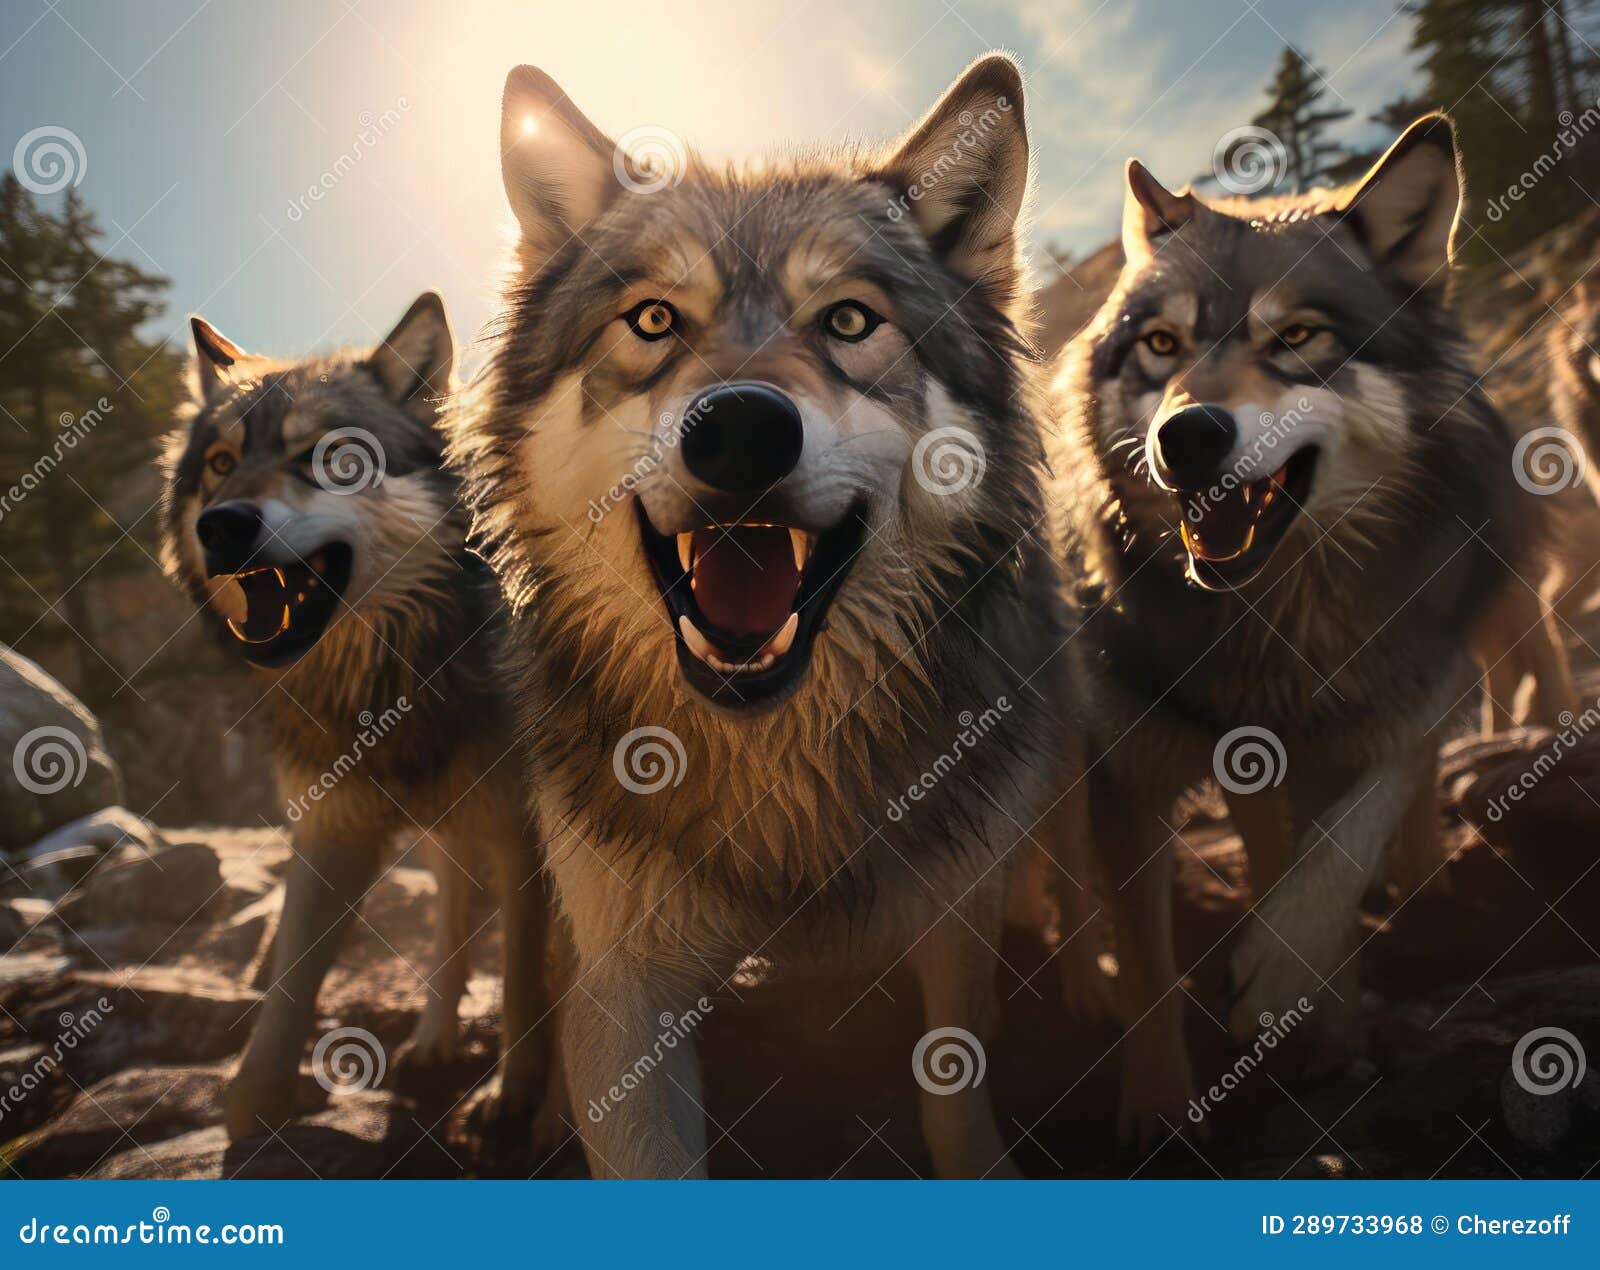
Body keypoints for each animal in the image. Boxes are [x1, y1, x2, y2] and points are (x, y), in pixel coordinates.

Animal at [160, 294, 556, 1143]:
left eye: (331, 457)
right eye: (220, 464)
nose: (222, 525)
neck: (399, 671)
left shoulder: (527, 834)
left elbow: (524, 979)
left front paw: (515, 1095)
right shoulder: (332, 825)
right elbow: (289, 982)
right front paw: (250, 1113)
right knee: (448, 919)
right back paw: (433, 1039)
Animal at [445, 54, 1077, 1178]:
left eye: (849, 322)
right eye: (654, 321)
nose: (738, 428)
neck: (768, 763)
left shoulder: (955, 915)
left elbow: (956, 1091)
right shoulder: (627, 980)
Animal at [1048, 115, 1562, 1149]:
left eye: (1295, 337)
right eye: (1161, 344)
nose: (1186, 438)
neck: (1275, 618)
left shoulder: (1402, 690)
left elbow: (1352, 832)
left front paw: (1304, 993)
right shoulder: (1134, 765)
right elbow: (1150, 960)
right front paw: (1157, 1107)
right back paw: (1088, 988)